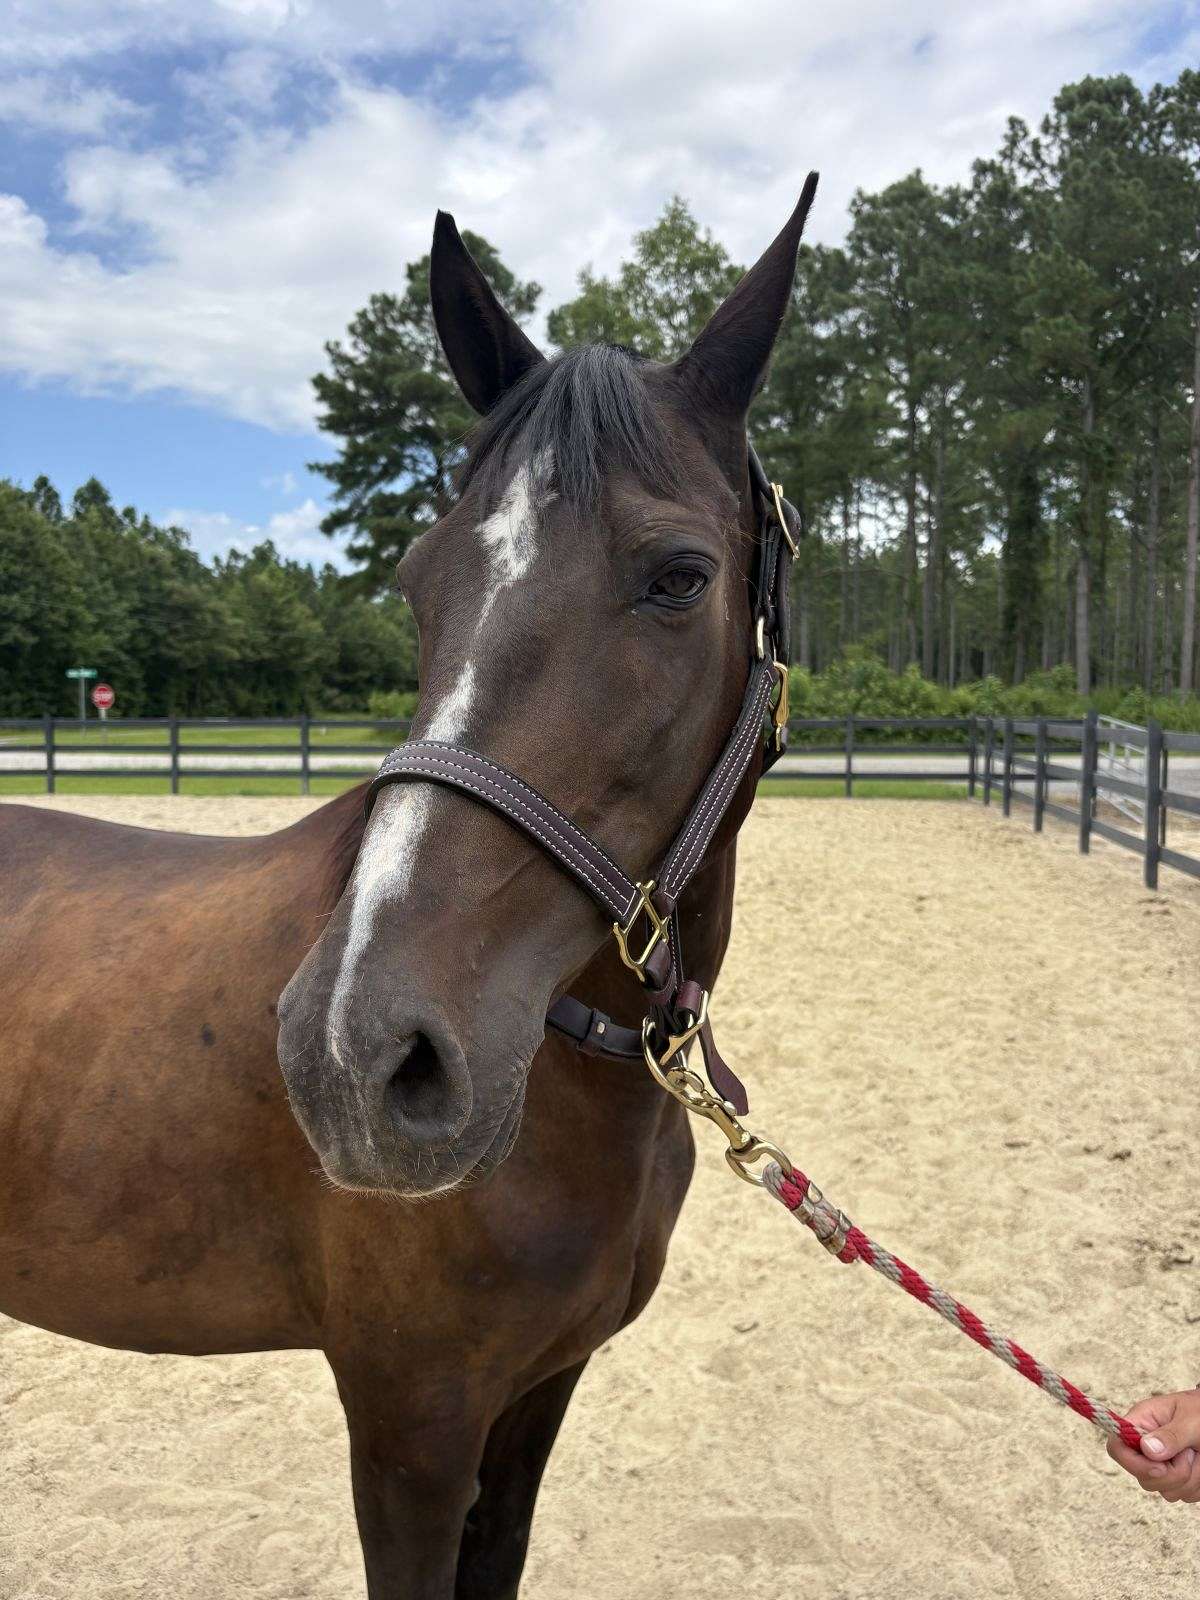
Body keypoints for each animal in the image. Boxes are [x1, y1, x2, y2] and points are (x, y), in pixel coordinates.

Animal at [0, 176, 817, 1598]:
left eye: (680, 576)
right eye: (416, 581)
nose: (355, 1054)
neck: (582, 1091)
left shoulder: (538, 1397)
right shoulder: (411, 1432)